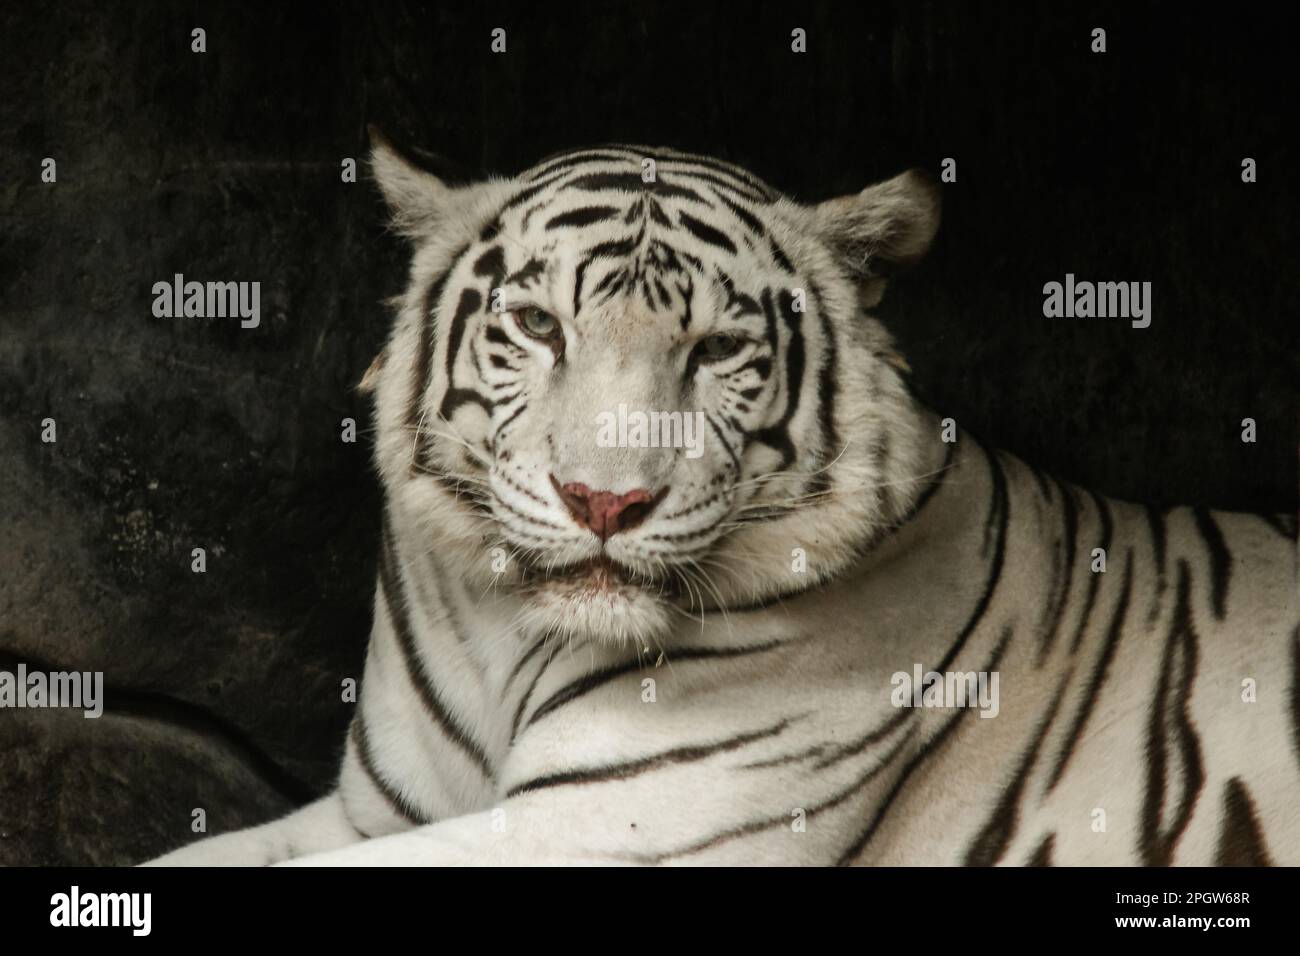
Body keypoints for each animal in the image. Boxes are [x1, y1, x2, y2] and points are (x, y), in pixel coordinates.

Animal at [148, 135, 1300, 866]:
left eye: (715, 350)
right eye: (538, 325)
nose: (603, 500)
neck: (501, 637)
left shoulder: (610, 826)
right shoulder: (372, 812)